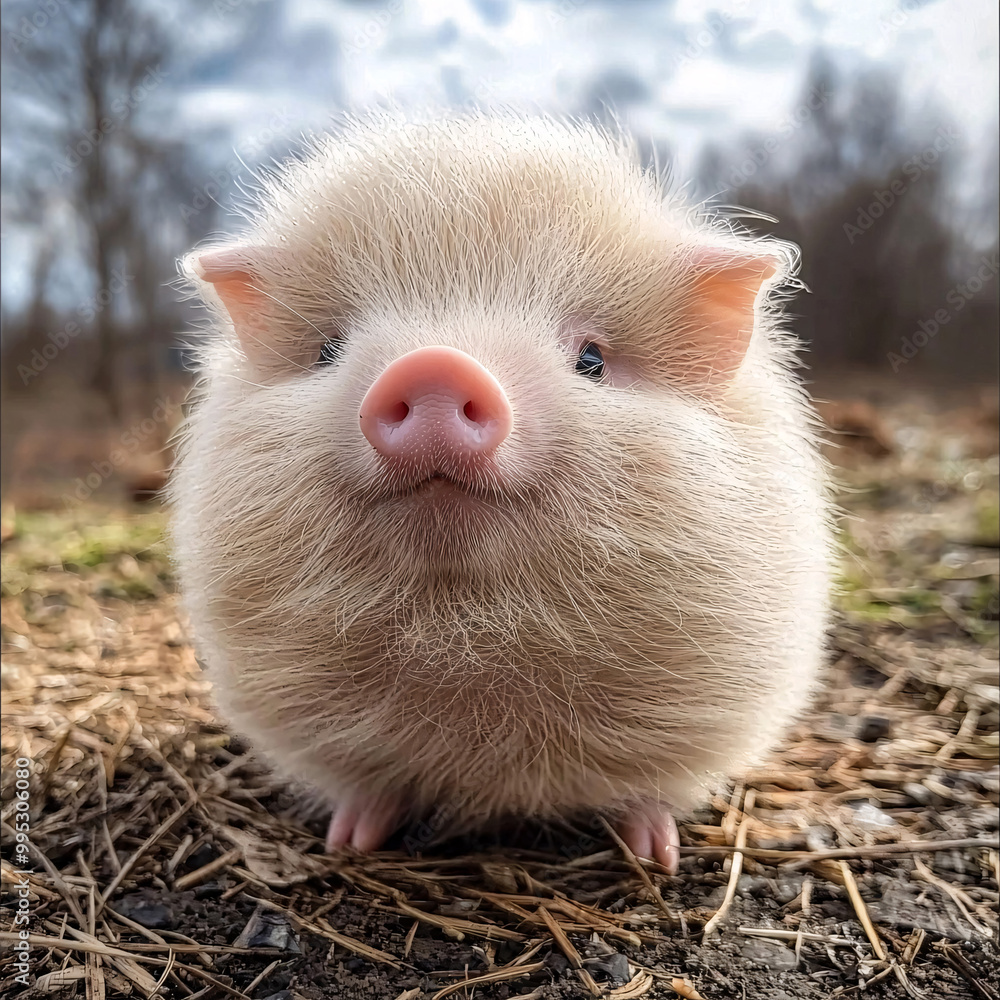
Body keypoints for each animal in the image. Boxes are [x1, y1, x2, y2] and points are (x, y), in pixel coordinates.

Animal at [170, 112, 832, 872]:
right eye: (329, 350)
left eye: (591, 359)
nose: (434, 366)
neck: (465, 641)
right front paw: (349, 842)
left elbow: (650, 791)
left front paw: (656, 855)